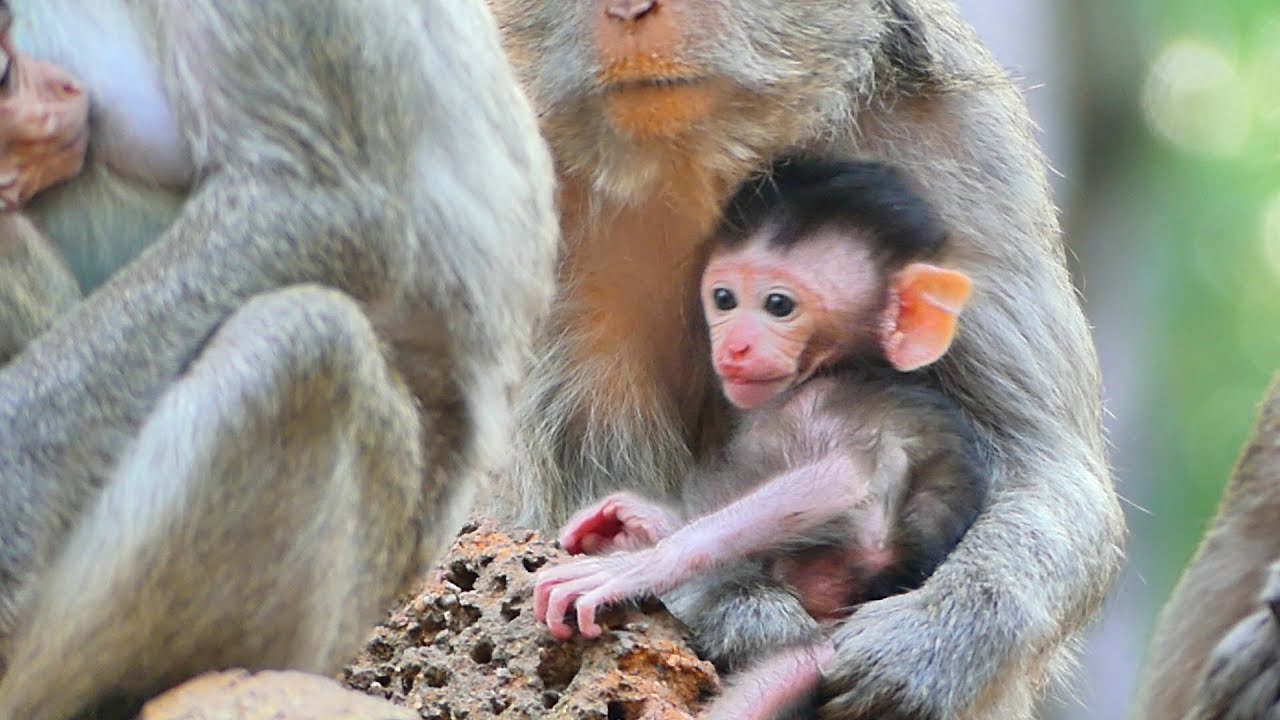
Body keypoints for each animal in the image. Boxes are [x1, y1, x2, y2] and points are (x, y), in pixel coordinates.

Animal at [533, 157, 988, 719]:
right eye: (724, 298)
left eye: (778, 305)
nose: (735, 346)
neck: (834, 368)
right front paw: (635, 522)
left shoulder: (827, 406)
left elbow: (844, 479)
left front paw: (642, 564)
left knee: (805, 656)